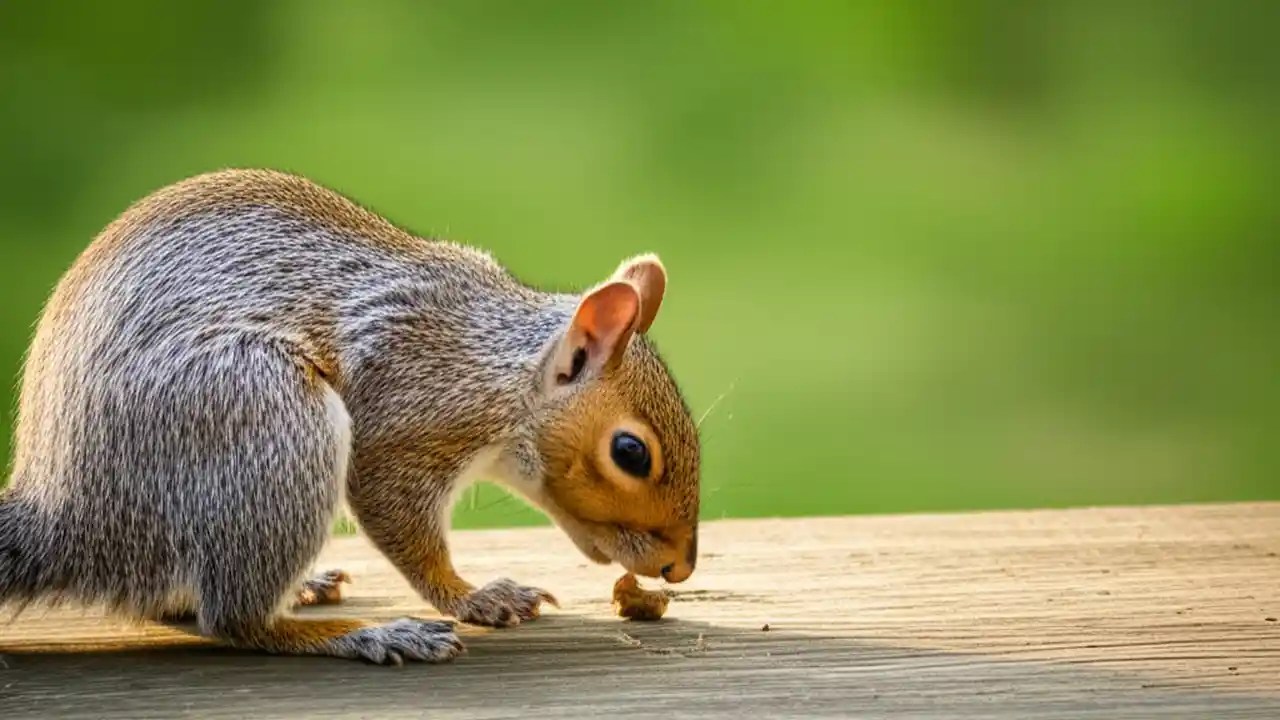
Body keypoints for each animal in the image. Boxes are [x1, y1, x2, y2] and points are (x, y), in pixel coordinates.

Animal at [0, 169, 700, 665]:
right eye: (631, 452)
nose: (681, 569)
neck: (500, 365)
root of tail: (74, 515)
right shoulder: (407, 410)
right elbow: (402, 526)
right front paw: (474, 597)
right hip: (269, 417)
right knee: (235, 621)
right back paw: (367, 634)